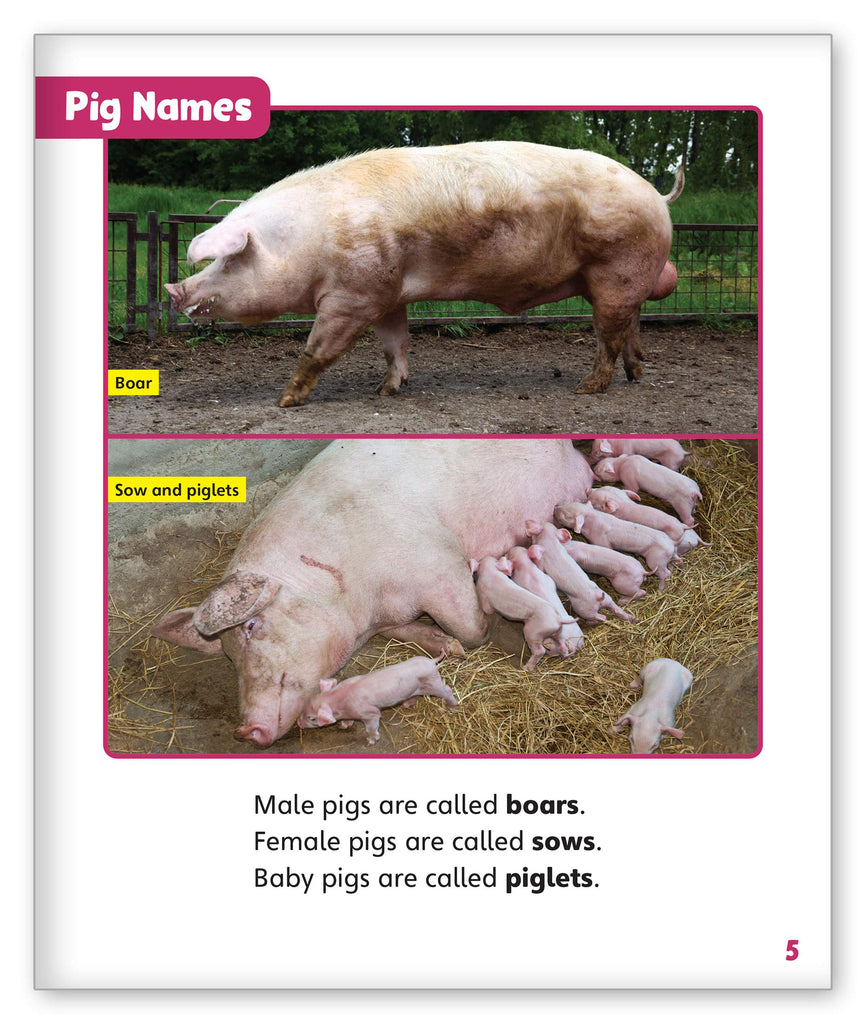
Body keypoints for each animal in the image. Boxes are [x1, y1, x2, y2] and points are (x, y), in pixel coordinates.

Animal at [164, 142, 683, 407]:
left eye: (229, 260)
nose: (172, 288)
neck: (303, 242)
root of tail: (658, 196)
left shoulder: (353, 296)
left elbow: (316, 350)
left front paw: (284, 401)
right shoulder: (387, 294)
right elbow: (395, 345)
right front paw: (385, 391)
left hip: (616, 270)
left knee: (607, 335)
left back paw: (587, 388)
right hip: (620, 282)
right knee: (630, 327)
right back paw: (635, 374)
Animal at [296, 651, 457, 744]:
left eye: (312, 718)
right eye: (303, 709)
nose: (298, 723)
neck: (340, 703)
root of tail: (431, 661)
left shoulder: (370, 713)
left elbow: (371, 726)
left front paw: (370, 741)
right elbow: (348, 721)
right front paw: (343, 726)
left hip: (434, 683)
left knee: (448, 690)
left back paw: (452, 707)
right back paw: (405, 705)